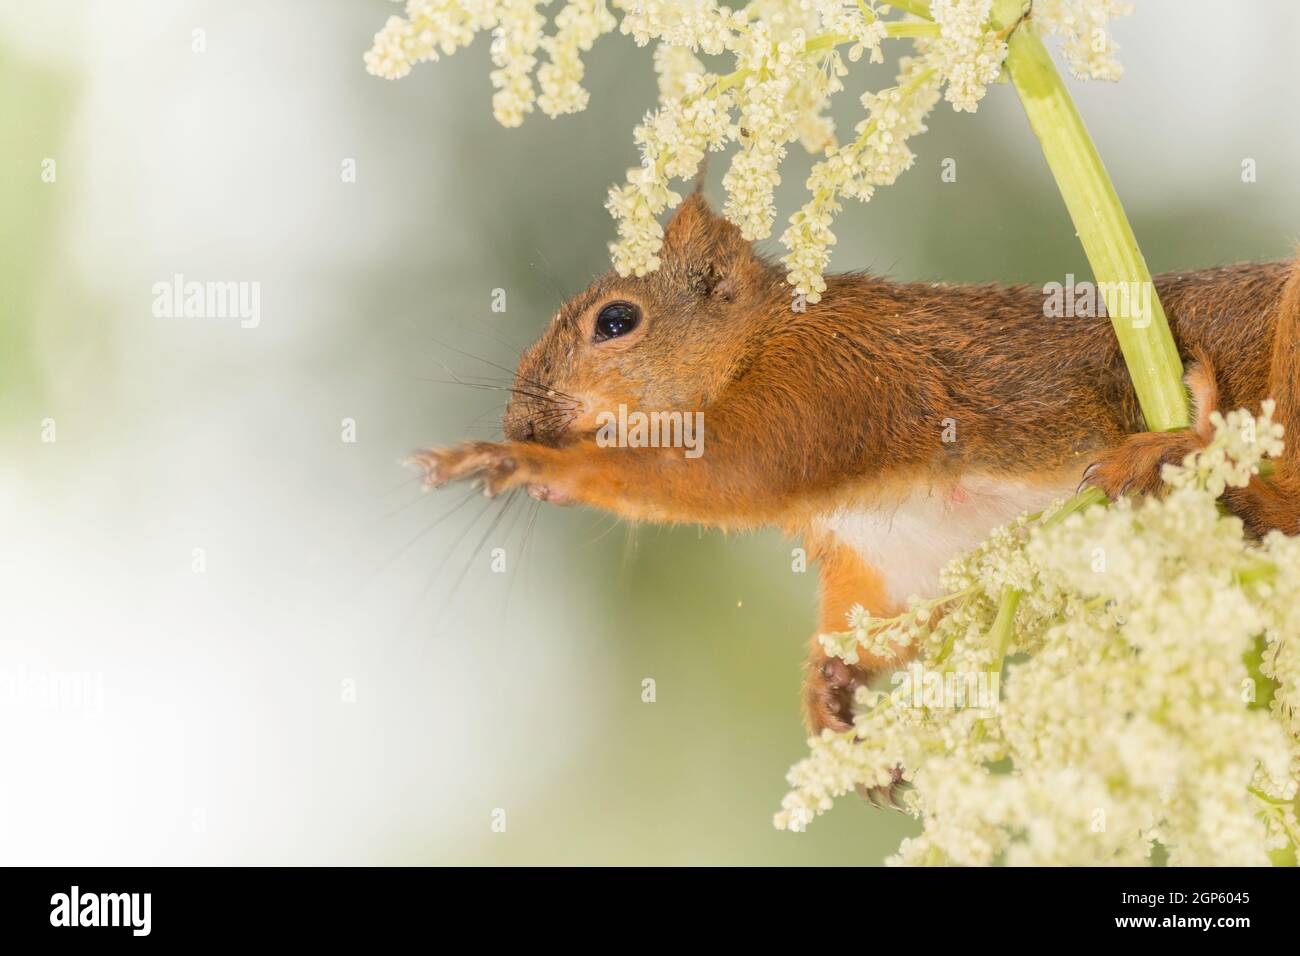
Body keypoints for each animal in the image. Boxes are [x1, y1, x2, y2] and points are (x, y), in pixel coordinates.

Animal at [414, 191, 1300, 739]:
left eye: (616, 321)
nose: (519, 418)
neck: (765, 339)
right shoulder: (900, 550)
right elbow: (877, 615)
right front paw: (826, 685)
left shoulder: (831, 385)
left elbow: (718, 474)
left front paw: (523, 461)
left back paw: (1190, 444)